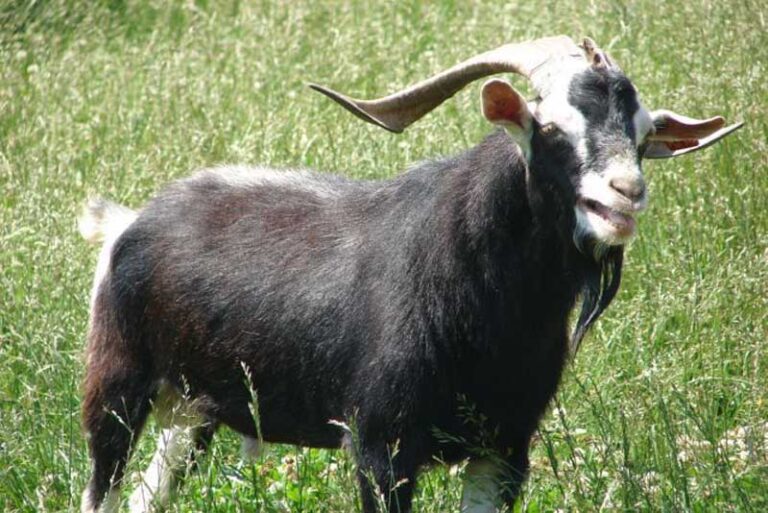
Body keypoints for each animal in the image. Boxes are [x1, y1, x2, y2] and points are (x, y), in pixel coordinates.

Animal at [78, 36, 741, 513]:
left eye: (644, 133)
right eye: (549, 126)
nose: (625, 195)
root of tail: (130, 223)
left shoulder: (503, 451)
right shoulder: (380, 447)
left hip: (192, 414)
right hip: (117, 392)